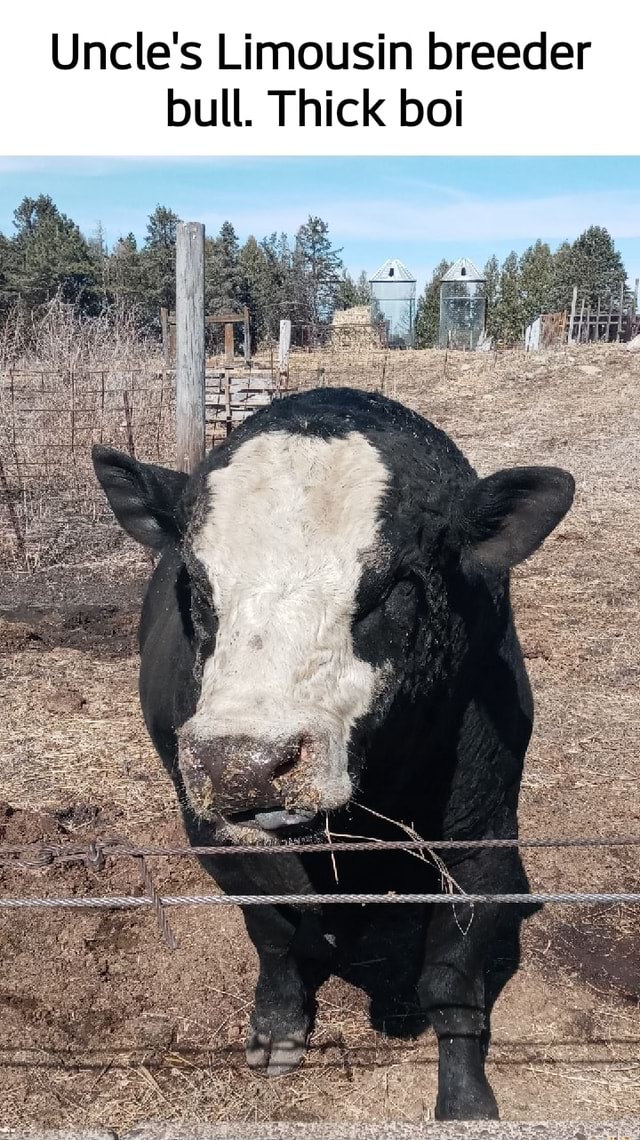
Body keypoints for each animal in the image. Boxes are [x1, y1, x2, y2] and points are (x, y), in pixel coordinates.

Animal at [92, 386, 574, 1120]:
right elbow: (274, 932)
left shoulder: (485, 834)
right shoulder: (212, 833)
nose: (242, 764)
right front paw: (277, 1029)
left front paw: (465, 1099)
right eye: (198, 586)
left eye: (392, 585)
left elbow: (452, 976)